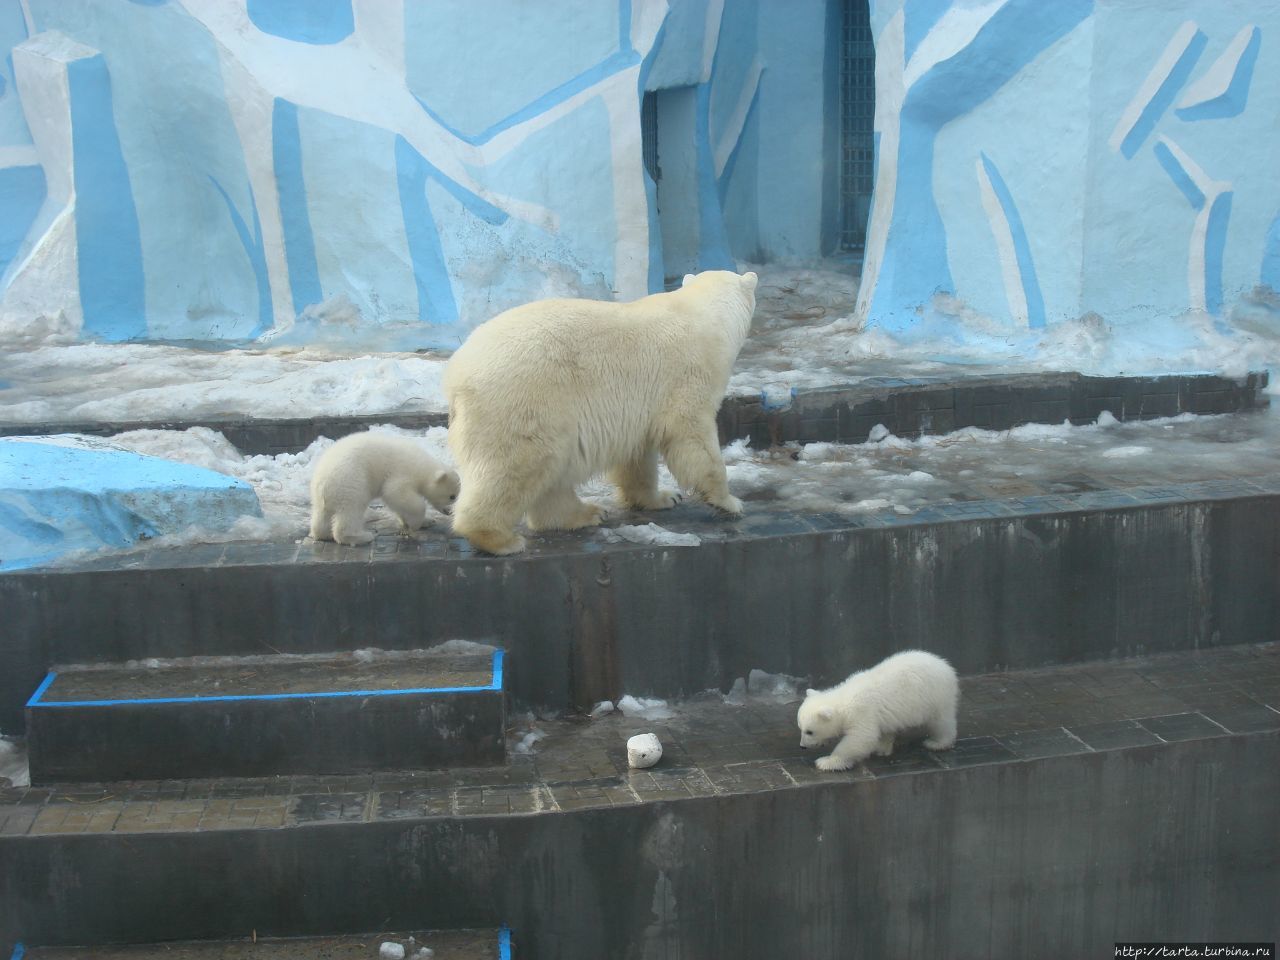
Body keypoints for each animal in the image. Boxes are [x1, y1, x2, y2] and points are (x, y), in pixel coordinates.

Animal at [309, 432, 460, 545]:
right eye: (452, 496)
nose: (450, 512)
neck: (421, 465)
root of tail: (323, 484)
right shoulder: (401, 472)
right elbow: (395, 493)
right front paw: (415, 524)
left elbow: (399, 504)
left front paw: (426, 521)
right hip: (349, 483)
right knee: (352, 510)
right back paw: (361, 537)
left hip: (324, 496)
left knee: (322, 514)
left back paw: (323, 534)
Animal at [445, 271, 752, 555]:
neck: (702, 315)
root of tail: (455, 376)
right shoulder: (688, 377)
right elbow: (695, 441)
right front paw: (729, 502)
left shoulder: (639, 408)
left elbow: (637, 456)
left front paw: (663, 498)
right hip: (525, 401)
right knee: (515, 465)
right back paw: (500, 539)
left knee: (550, 474)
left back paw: (585, 514)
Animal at [793, 647, 957, 773]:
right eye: (800, 728)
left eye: (809, 731)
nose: (802, 746)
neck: (843, 699)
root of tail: (946, 666)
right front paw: (882, 748)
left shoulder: (861, 712)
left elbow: (861, 738)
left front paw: (826, 762)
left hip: (935, 697)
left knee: (941, 722)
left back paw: (937, 743)